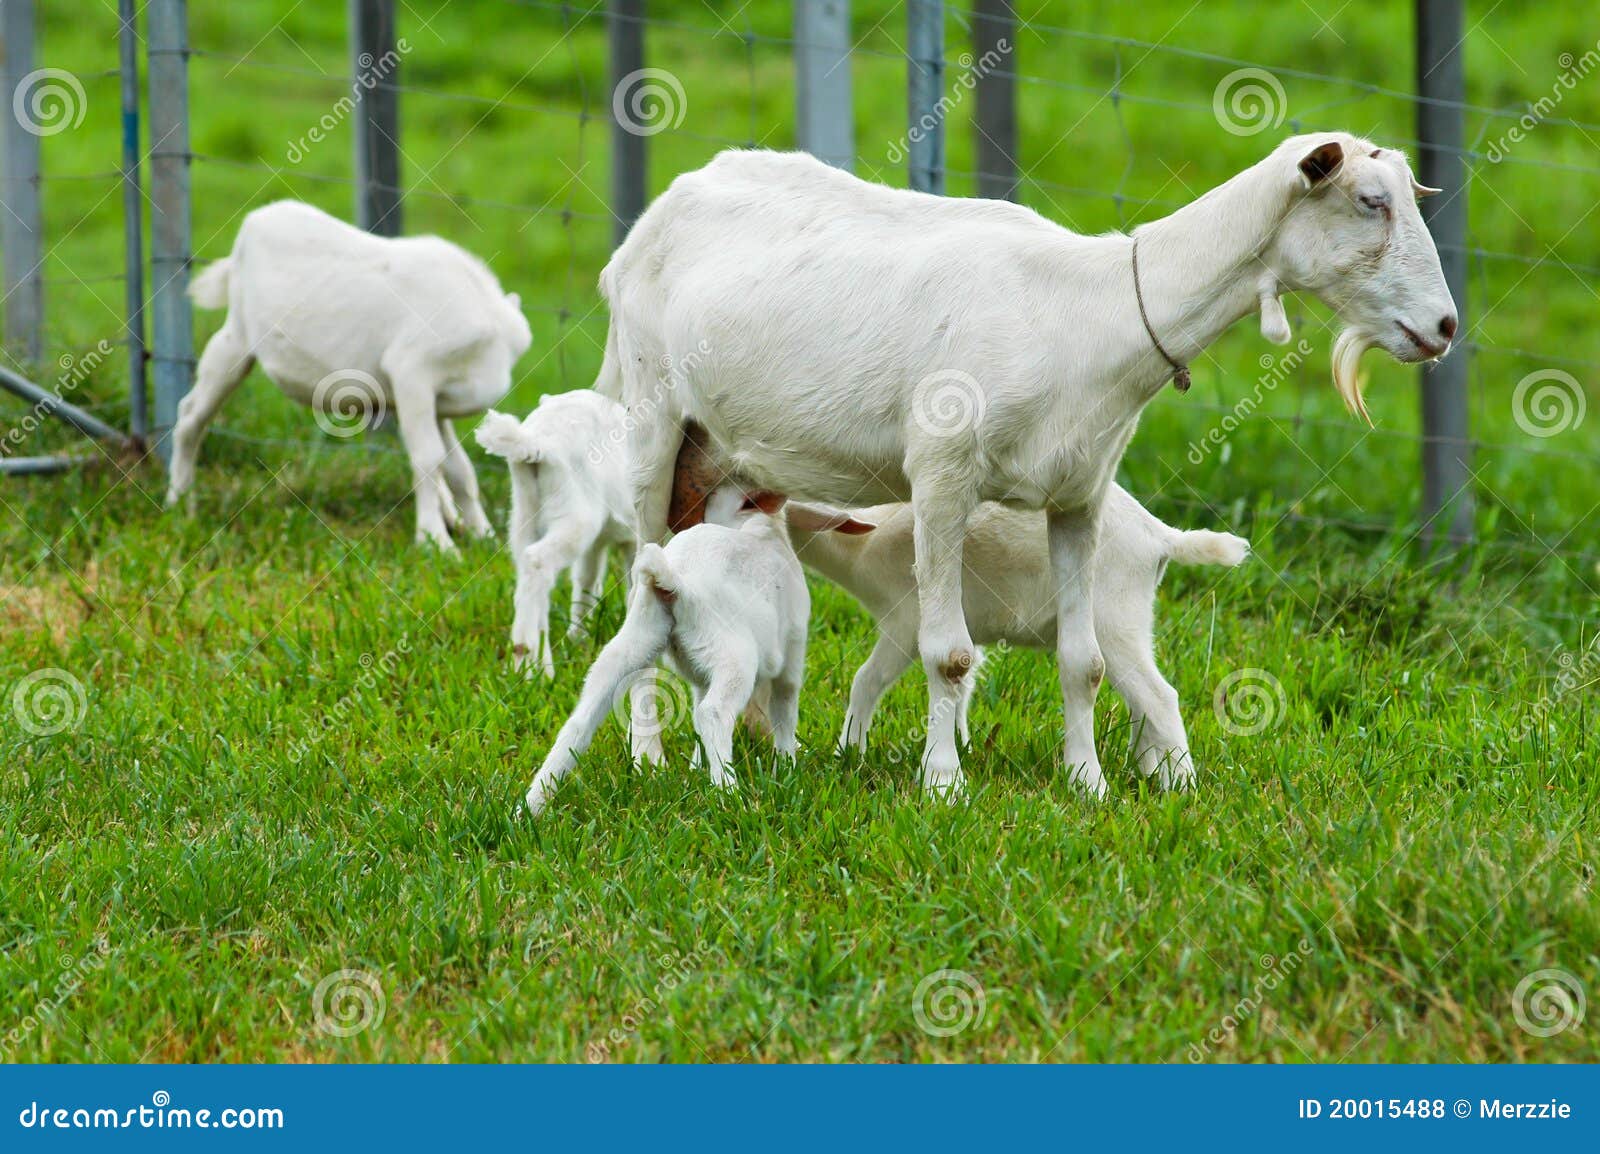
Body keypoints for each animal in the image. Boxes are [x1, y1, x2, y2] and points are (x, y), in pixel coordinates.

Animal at [167, 200, 532, 550]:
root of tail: (253, 223)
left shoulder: (436, 401)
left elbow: (459, 468)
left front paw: (485, 536)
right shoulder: (412, 372)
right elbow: (428, 458)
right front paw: (435, 542)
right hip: (236, 336)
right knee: (190, 413)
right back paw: (179, 501)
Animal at [475, 393, 634, 676]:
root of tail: (536, 443)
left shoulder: (600, 543)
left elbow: (586, 580)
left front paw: (578, 637)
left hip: (524, 515)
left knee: (530, 571)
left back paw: (538, 663)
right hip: (576, 516)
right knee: (537, 561)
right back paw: (528, 664)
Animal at [525, 490, 873, 817]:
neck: (766, 530)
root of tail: (674, 580)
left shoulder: (699, 676)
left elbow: (694, 713)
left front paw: (696, 769)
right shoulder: (792, 652)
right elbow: (784, 710)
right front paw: (786, 767)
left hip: (632, 641)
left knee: (580, 722)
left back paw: (529, 807)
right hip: (734, 655)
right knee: (714, 713)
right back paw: (731, 798)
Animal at [790, 485, 1249, 788]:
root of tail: (1161, 537)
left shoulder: (904, 622)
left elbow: (866, 680)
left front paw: (848, 751)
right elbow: (963, 682)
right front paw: (963, 742)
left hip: (1114, 615)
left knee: (1159, 697)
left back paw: (1181, 788)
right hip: (1135, 616)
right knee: (1141, 700)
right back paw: (1152, 771)